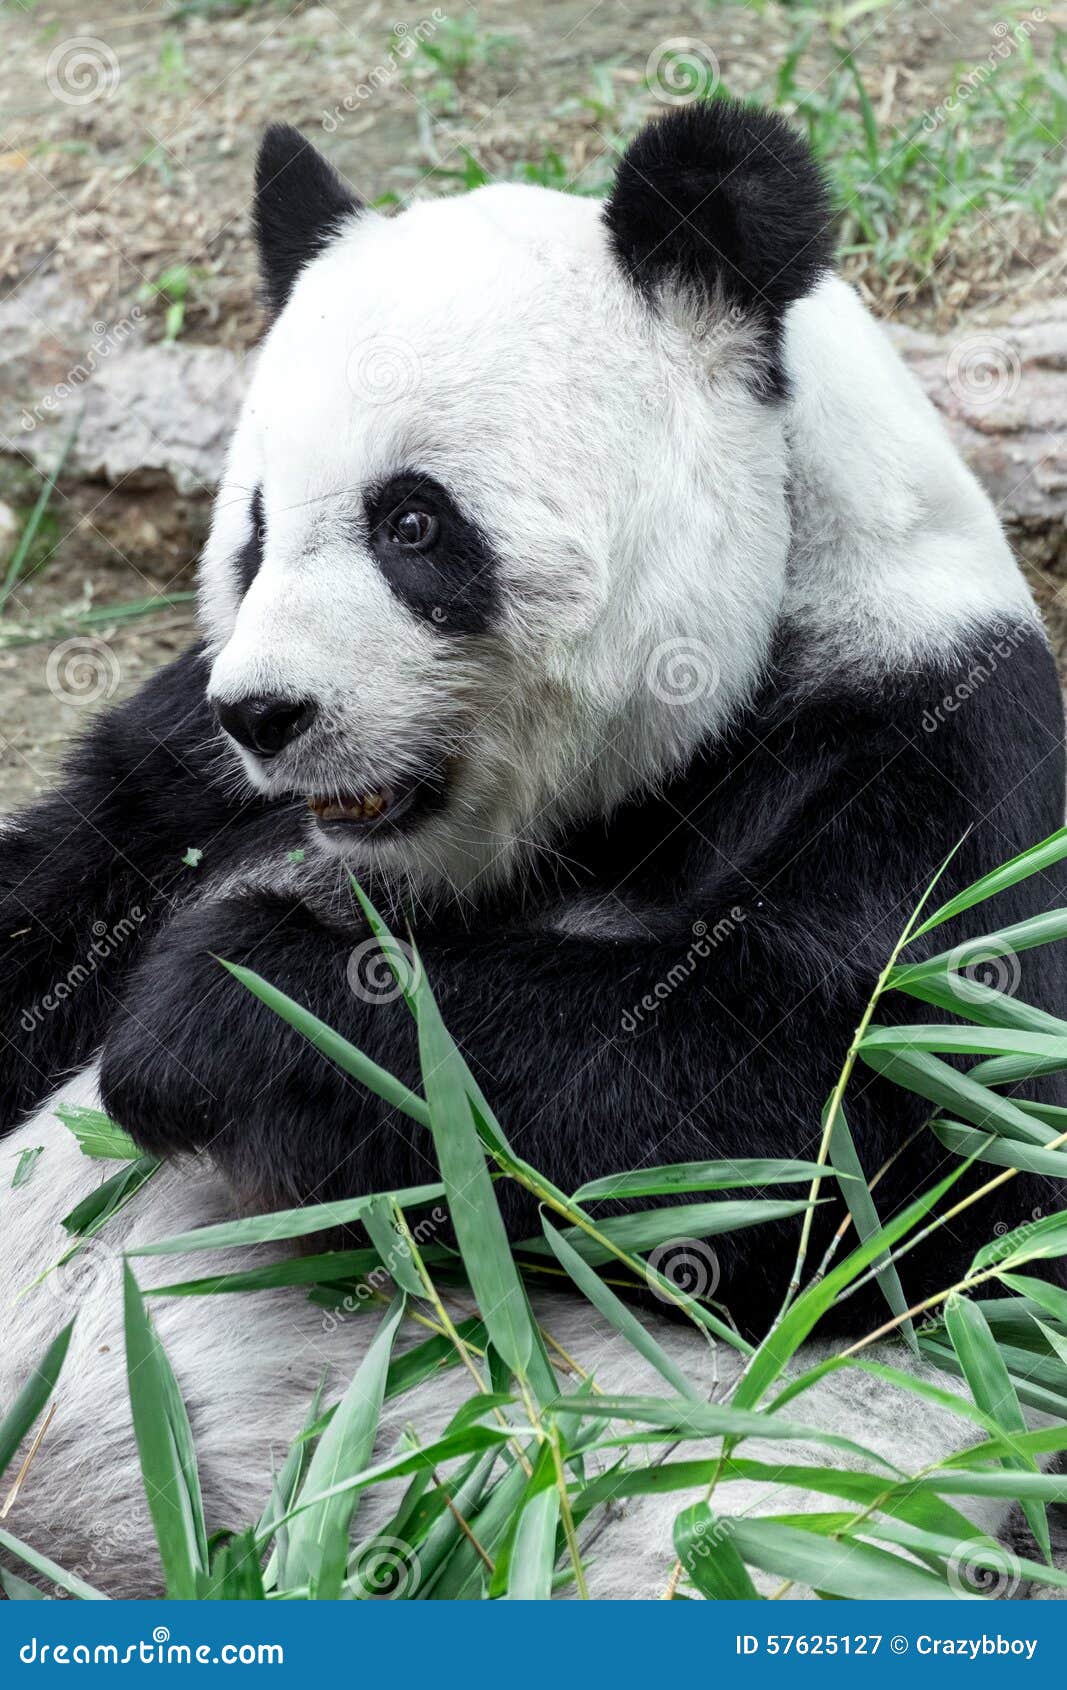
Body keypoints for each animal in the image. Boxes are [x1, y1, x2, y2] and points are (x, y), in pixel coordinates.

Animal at [0, 100, 1064, 1598]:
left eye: (411, 521)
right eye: (253, 531)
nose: (267, 713)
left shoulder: (930, 744)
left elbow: (885, 1134)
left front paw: (209, 1008)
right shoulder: (177, 780)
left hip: (768, 1492)